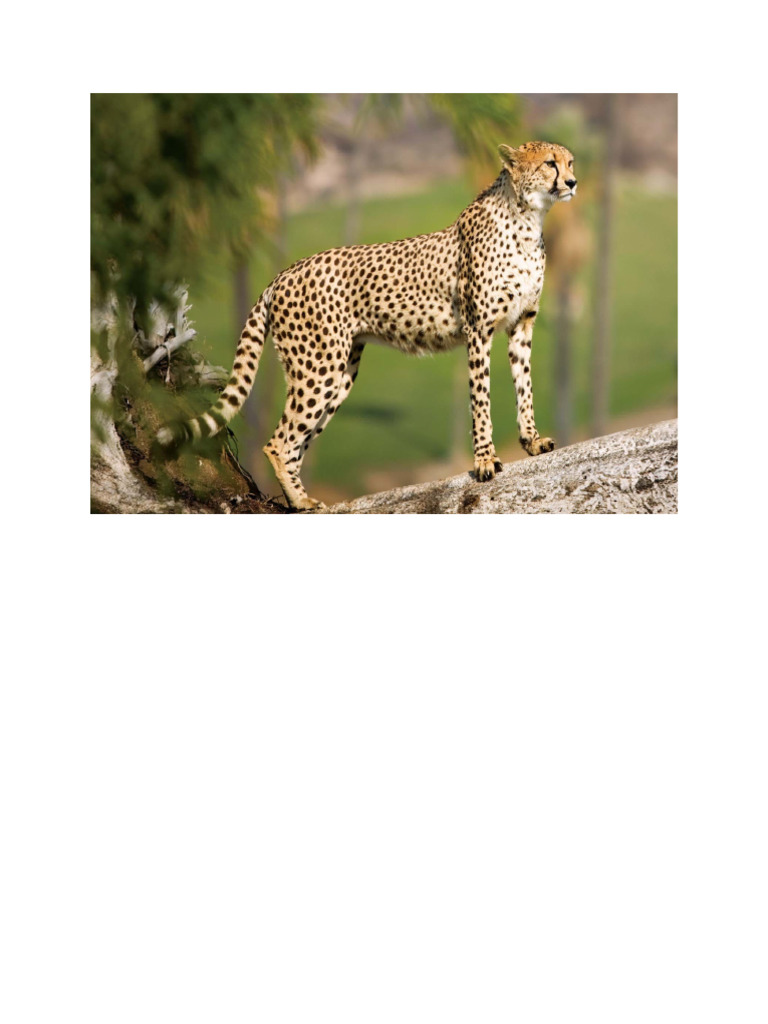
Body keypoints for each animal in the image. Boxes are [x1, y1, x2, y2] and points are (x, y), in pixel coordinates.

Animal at [157, 141, 577, 510]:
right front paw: (485, 461)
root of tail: (283, 273)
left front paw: (532, 441)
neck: (527, 218)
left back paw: (301, 502)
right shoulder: (479, 330)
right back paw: (301, 501)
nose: (573, 182)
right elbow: (481, 399)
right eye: (550, 164)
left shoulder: (521, 326)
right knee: (279, 442)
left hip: (339, 374)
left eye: (569, 161)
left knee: (296, 443)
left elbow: (524, 387)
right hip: (318, 368)